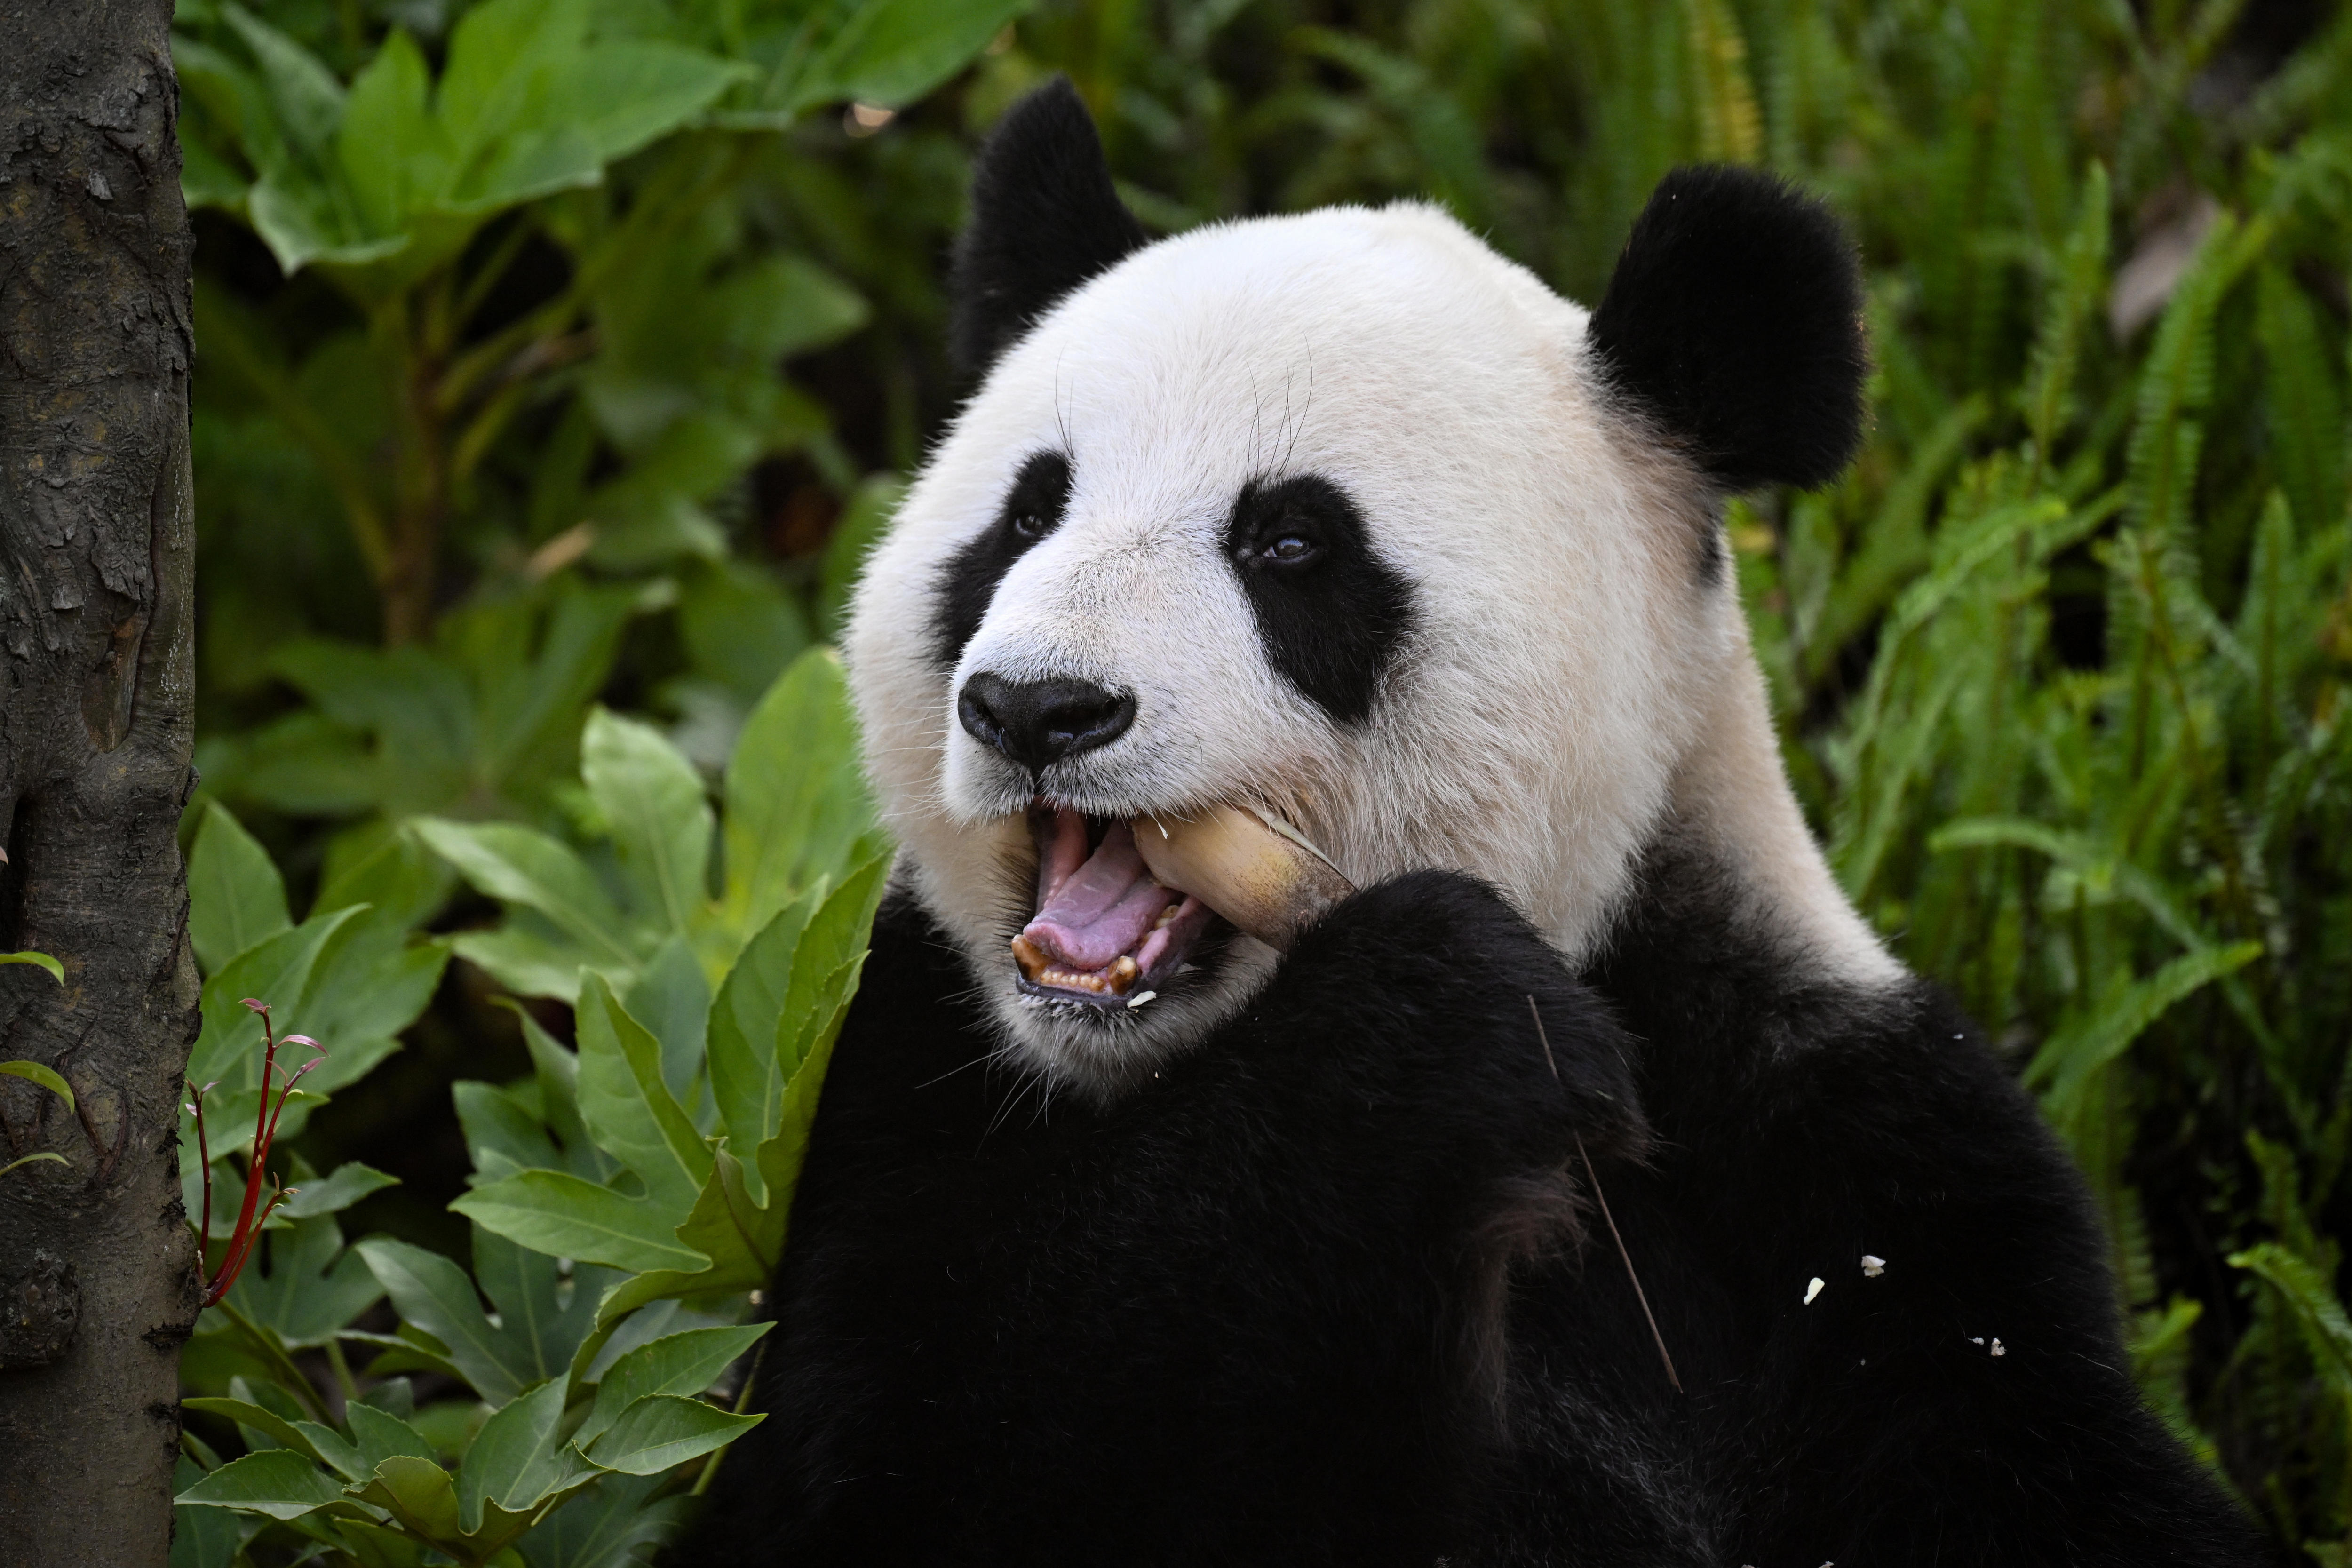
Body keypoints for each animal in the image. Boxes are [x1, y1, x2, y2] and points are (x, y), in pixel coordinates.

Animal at [687, 79, 2261, 1566]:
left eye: (1290, 542)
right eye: (1024, 516)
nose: (1034, 706)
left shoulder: (1870, 1166)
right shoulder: (890, 1085)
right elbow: (936, 1466)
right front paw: (1447, 1024)